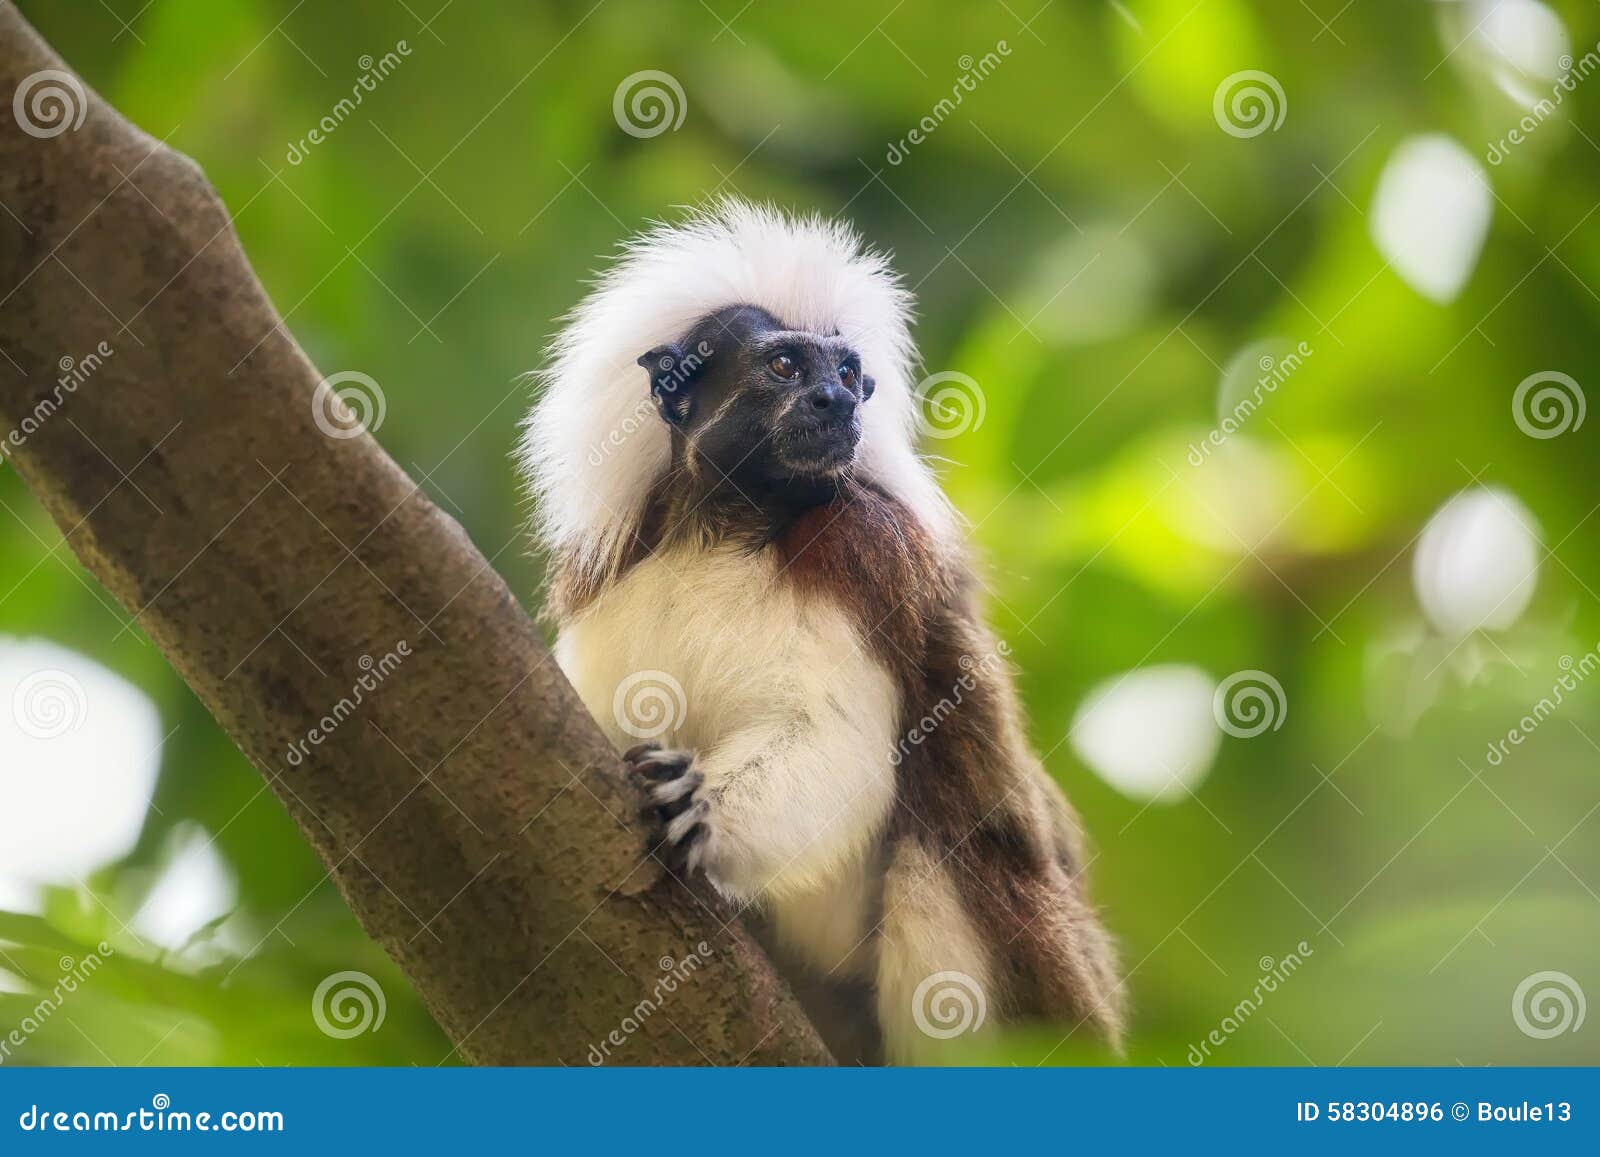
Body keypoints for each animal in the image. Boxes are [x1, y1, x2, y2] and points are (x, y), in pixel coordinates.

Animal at [520, 199, 1122, 1064]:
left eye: (845, 374)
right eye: (783, 367)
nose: (837, 404)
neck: (727, 529)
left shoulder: (863, 554)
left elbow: (837, 743)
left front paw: (695, 804)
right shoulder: (616, 584)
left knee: (939, 856)